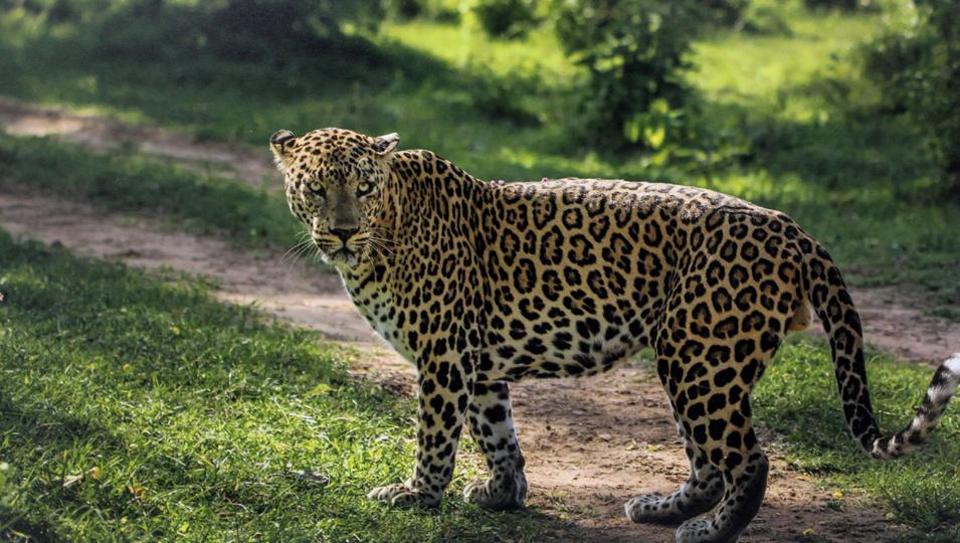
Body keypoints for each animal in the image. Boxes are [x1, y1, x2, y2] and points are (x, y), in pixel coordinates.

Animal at [270, 127, 960, 543]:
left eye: (362, 187)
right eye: (316, 188)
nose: (342, 232)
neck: (385, 230)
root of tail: (792, 228)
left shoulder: (443, 355)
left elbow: (436, 434)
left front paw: (417, 494)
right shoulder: (478, 362)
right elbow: (497, 433)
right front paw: (502, 494)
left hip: (701, 356)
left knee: (748, 459)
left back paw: (708, 532)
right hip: (693, 357)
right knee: (710, 462)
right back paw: (659, 509)